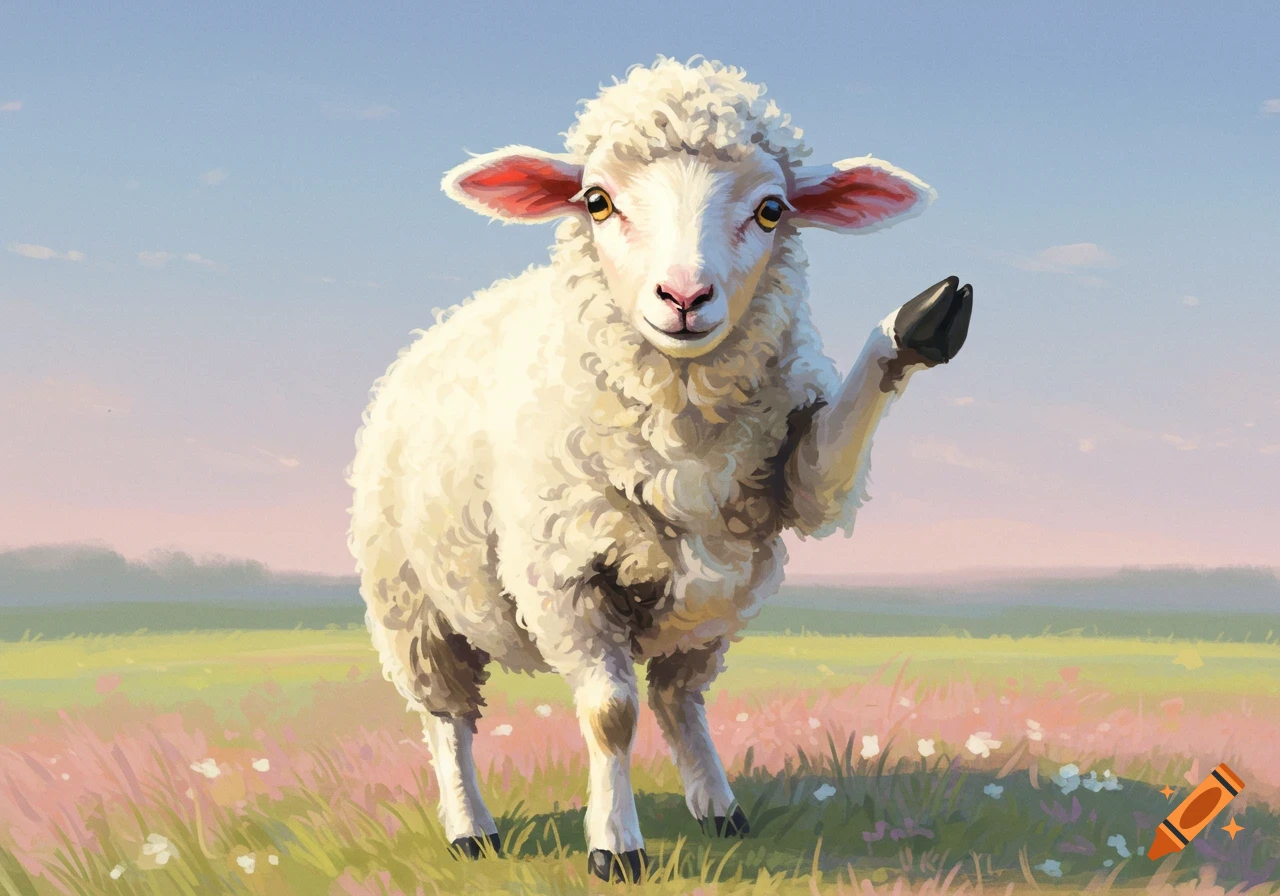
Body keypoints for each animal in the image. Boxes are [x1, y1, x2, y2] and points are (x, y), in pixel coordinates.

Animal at [347, 56, 972, 883]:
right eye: (597, 202)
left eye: (771, 210)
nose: (683, 295)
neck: (682, 437)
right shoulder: (564, 576)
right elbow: (611, 714)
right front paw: (615, 845)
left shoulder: (781, 488)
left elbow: (826, 475)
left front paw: (918, 322)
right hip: (410, 602)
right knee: (448, 718)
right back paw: (470, 829)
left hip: (709, 607)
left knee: (681, 698)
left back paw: (719, 808)